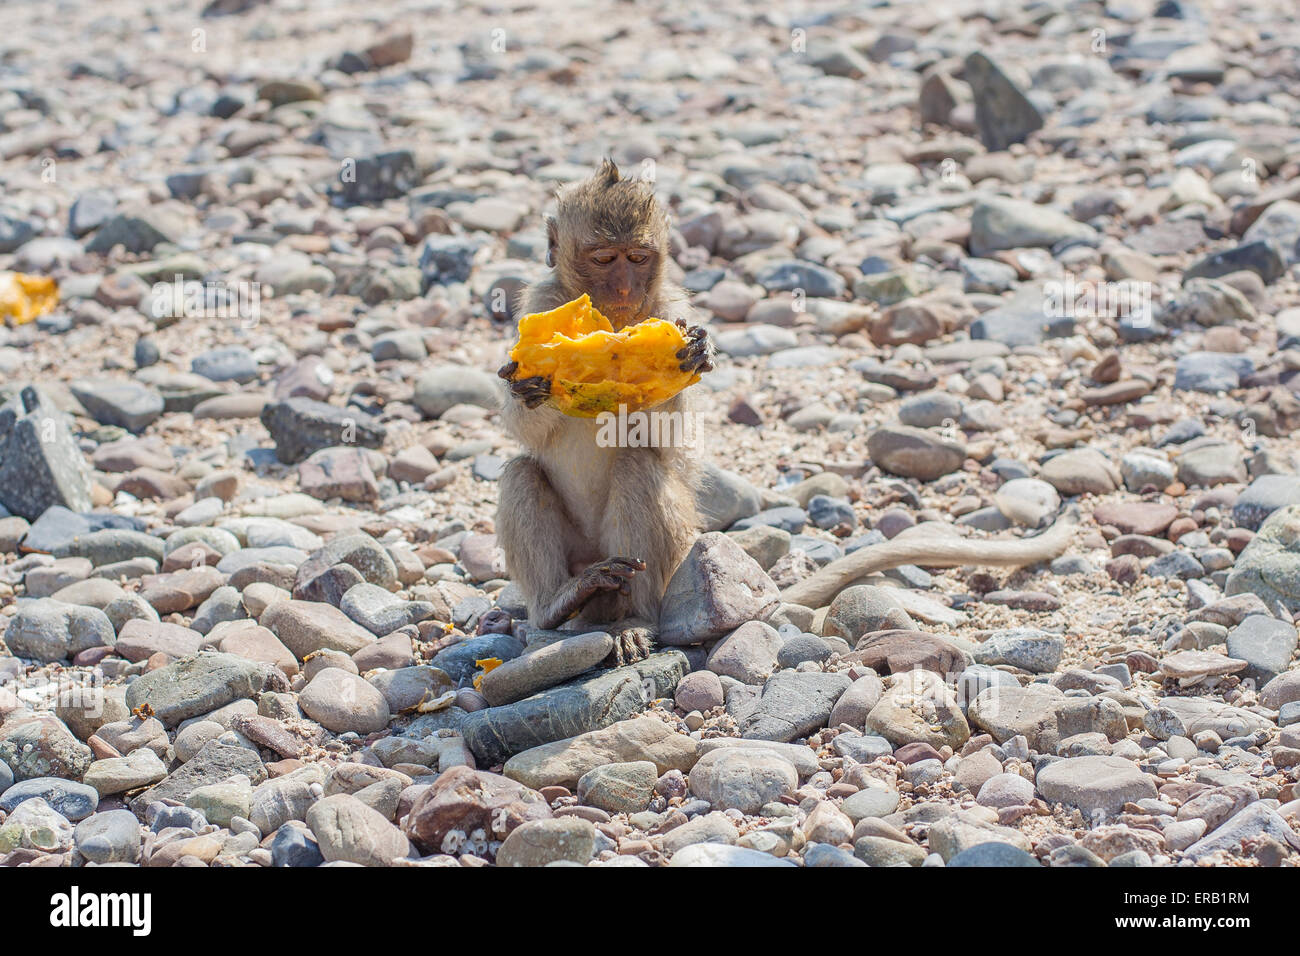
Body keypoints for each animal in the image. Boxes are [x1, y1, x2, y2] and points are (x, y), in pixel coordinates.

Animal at [496, 159, 714, 666]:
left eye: (636, 258)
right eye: (602, 259)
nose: (622, 288)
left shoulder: (672, 307)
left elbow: (674, 439)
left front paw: (688, 356)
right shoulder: (539, 303)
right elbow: (526, 435)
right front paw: (526, 387)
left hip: (674, 552)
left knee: (637, 466)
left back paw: (635, 619)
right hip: (581, 557)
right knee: (521, 472)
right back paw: (560, 602)